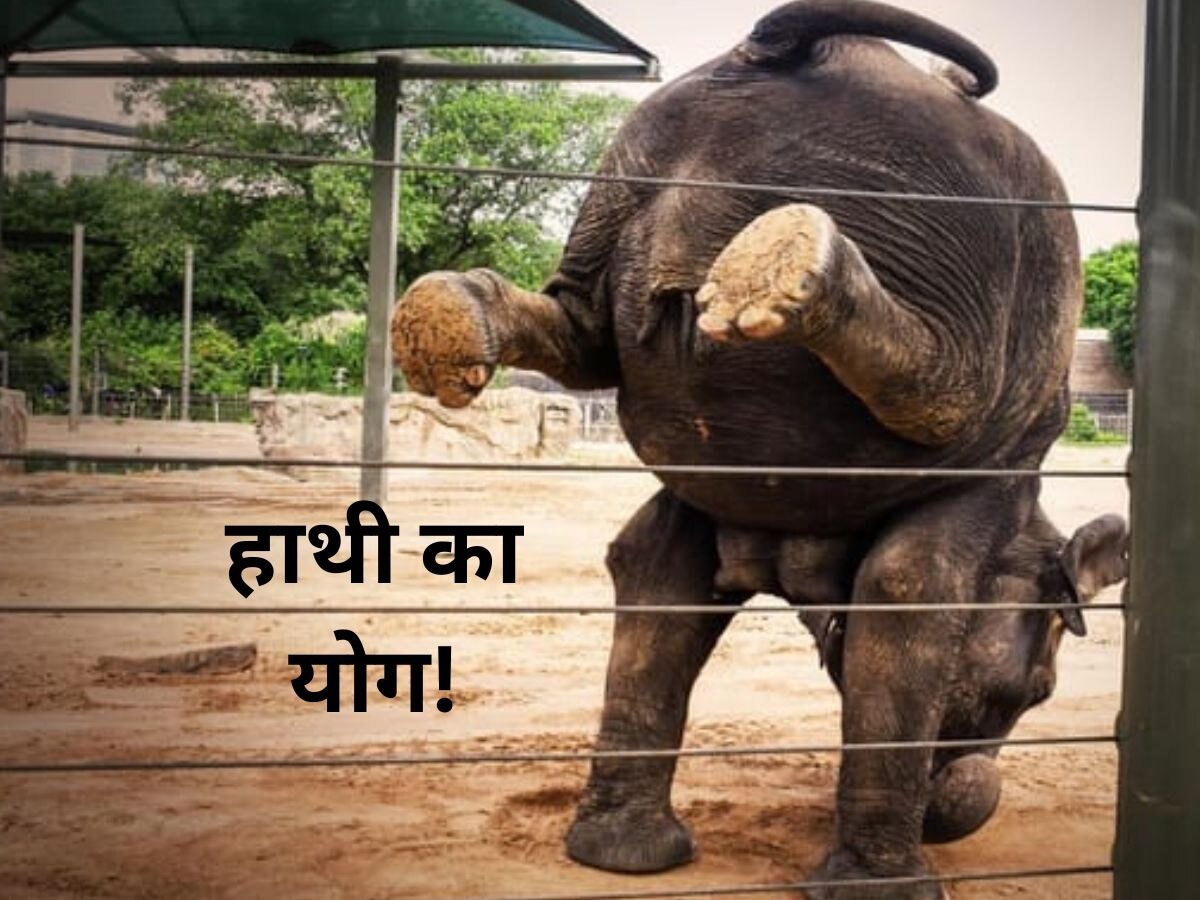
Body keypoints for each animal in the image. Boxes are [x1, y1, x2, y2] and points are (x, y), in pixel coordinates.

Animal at [389, 1, 1129, 896]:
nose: (950, 803)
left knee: (589, 337)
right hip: (949, 266)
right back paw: (799, 266)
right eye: (1039, 690)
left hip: (625, 181)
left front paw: (622, 859)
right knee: (947, 391)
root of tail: (775, 45)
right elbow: (907, 590)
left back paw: (453, 316)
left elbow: (658, 573)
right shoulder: (1008, 466)